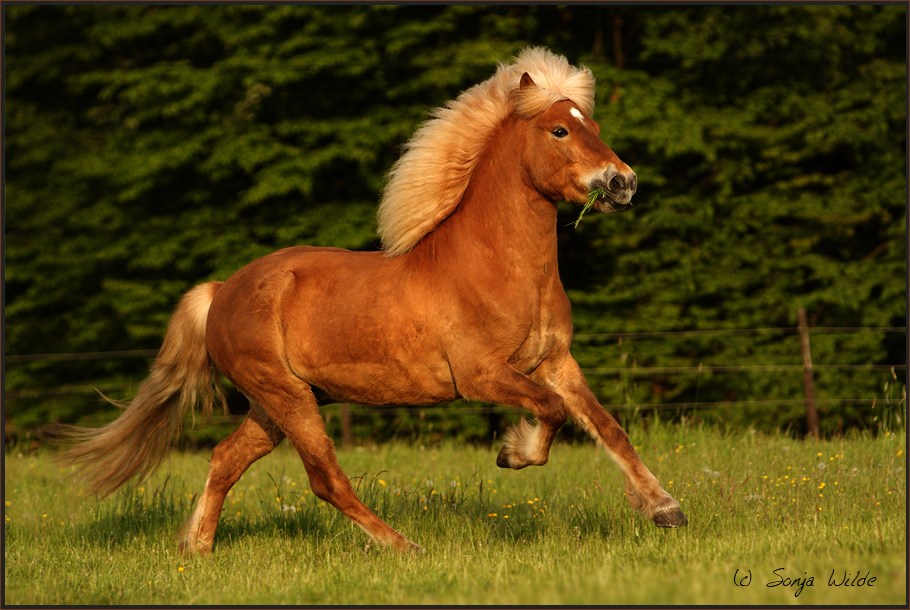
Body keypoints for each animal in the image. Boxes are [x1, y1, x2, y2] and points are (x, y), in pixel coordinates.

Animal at [60, 47, 687, 555]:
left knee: (223, 460)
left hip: (275, 405)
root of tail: (221, 292)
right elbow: (552, 413)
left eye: (594, 125)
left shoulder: (555, 362)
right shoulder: (482, 375)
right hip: (287, 399)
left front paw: (665, 509)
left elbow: (607, 427)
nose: (623, 183)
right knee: (325, 480)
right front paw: (513, 454)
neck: (498, 269)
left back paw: (198, 550)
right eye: (559, 131)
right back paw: (400, 546)